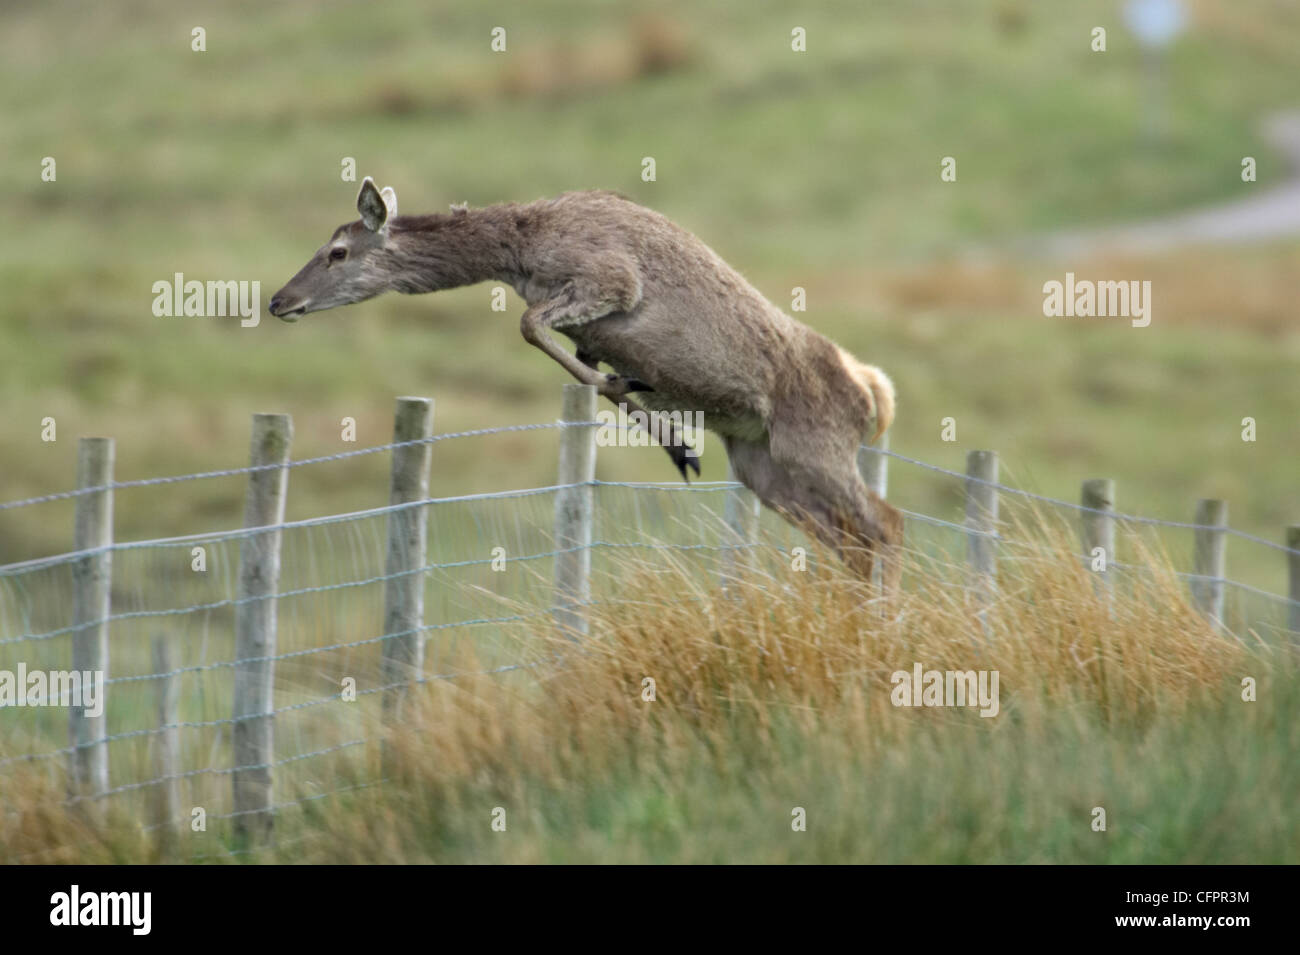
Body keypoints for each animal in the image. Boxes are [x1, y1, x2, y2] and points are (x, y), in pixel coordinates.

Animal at [269, 178, 904, 588]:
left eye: (337, 251)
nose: (278, 301)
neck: (522, 252)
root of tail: (874, 393)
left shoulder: (612, 278)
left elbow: (530, 327)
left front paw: (649, 409)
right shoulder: (588, 331)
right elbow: (568, 353)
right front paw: (670, 434)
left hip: (814, 444)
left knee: (886, 524)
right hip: (761, 465)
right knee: (851, 537)